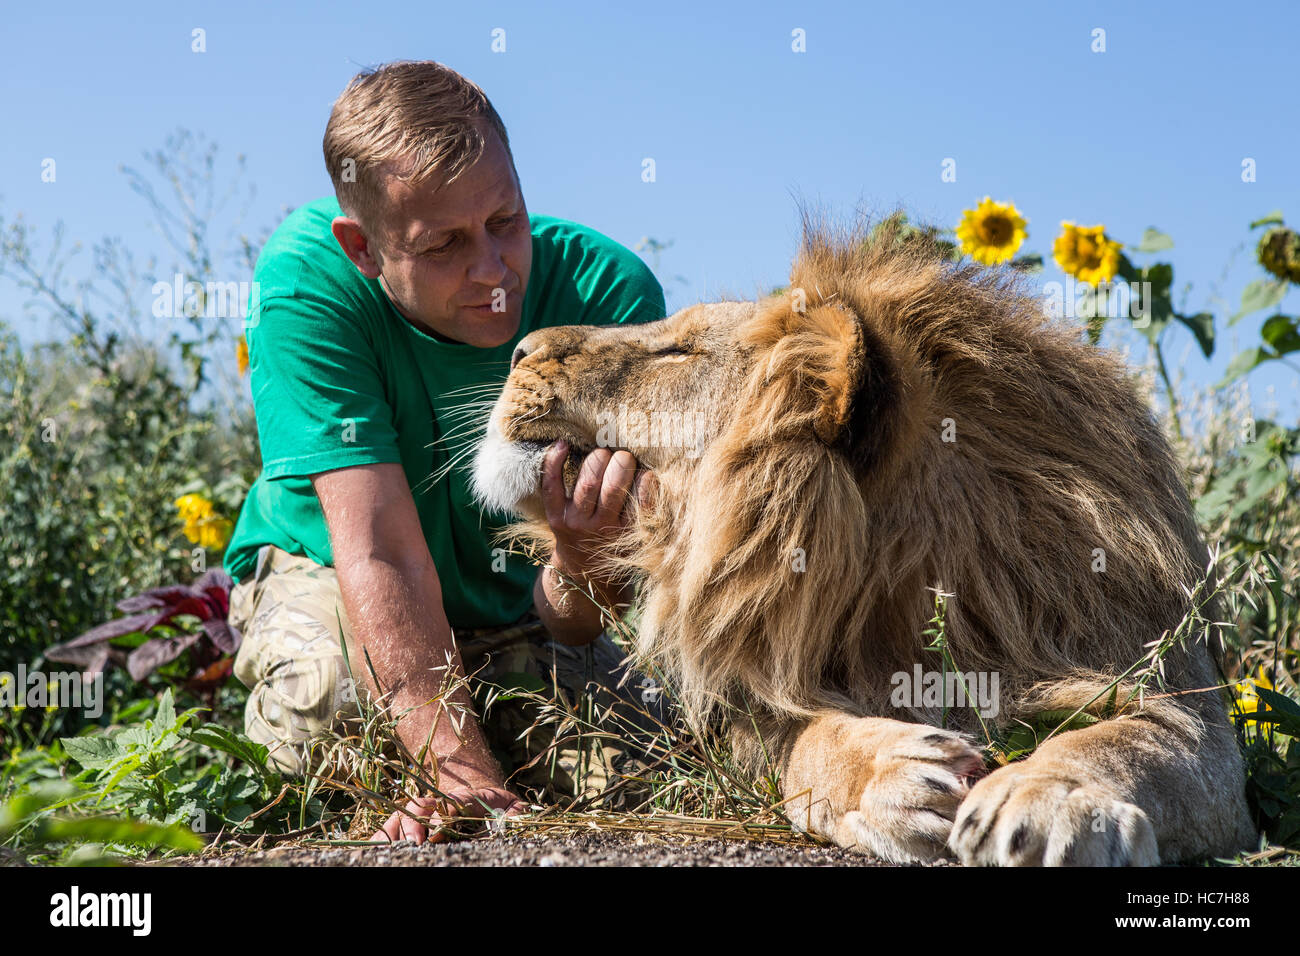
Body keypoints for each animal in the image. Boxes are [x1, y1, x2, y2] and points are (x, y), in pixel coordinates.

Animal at [471, 212, 1258, 866]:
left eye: (678, 352)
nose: (519, 350)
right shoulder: (756, 716)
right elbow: (807, 746)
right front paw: (891, 776)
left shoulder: (1177, 696)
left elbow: (1129, 744)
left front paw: (1047, 802)